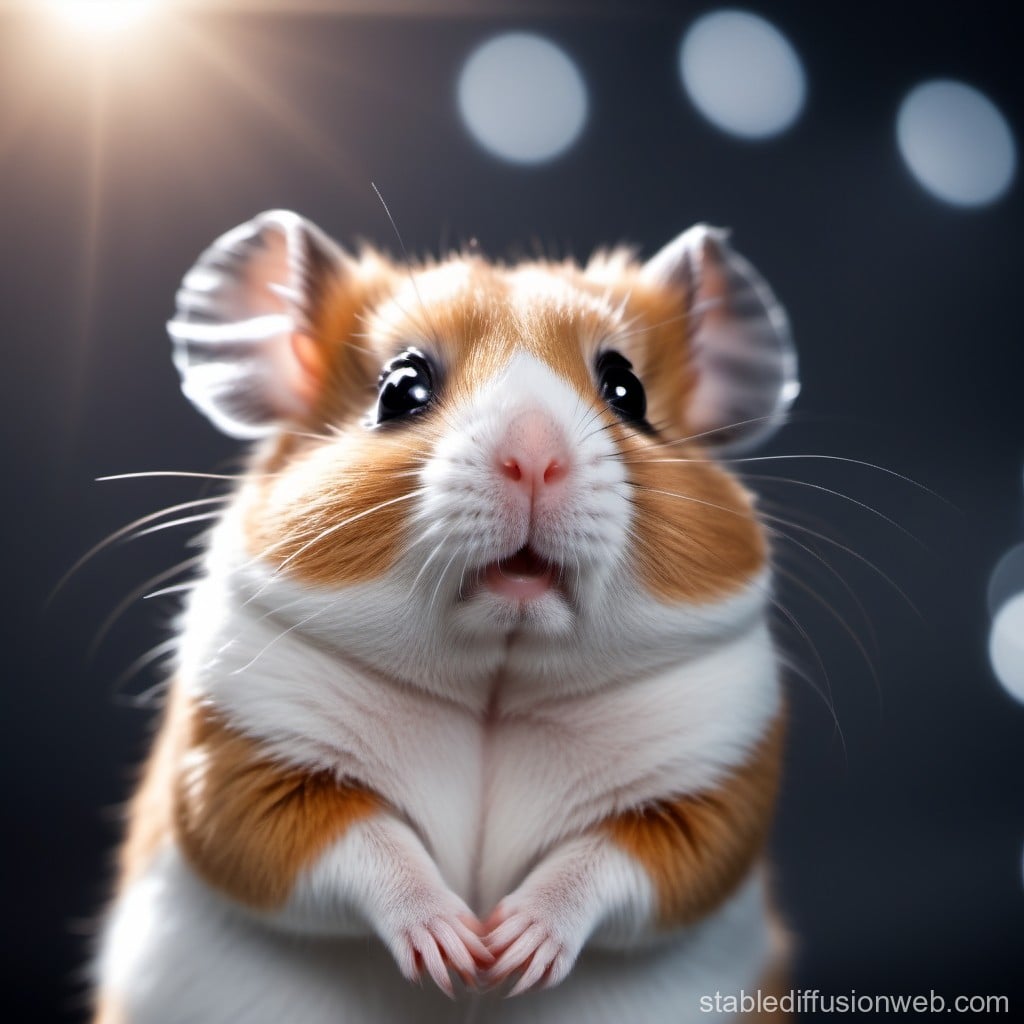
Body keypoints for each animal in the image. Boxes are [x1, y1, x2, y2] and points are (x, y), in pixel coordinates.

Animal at [92, 210, 798, 1024]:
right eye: (401, 387)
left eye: (628, 391)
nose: (534, 460)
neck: (495, 680)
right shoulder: (245, 767)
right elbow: (359, 846)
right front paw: (460, 952)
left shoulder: (708, 790)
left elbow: (612, 864)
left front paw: (510, 952)